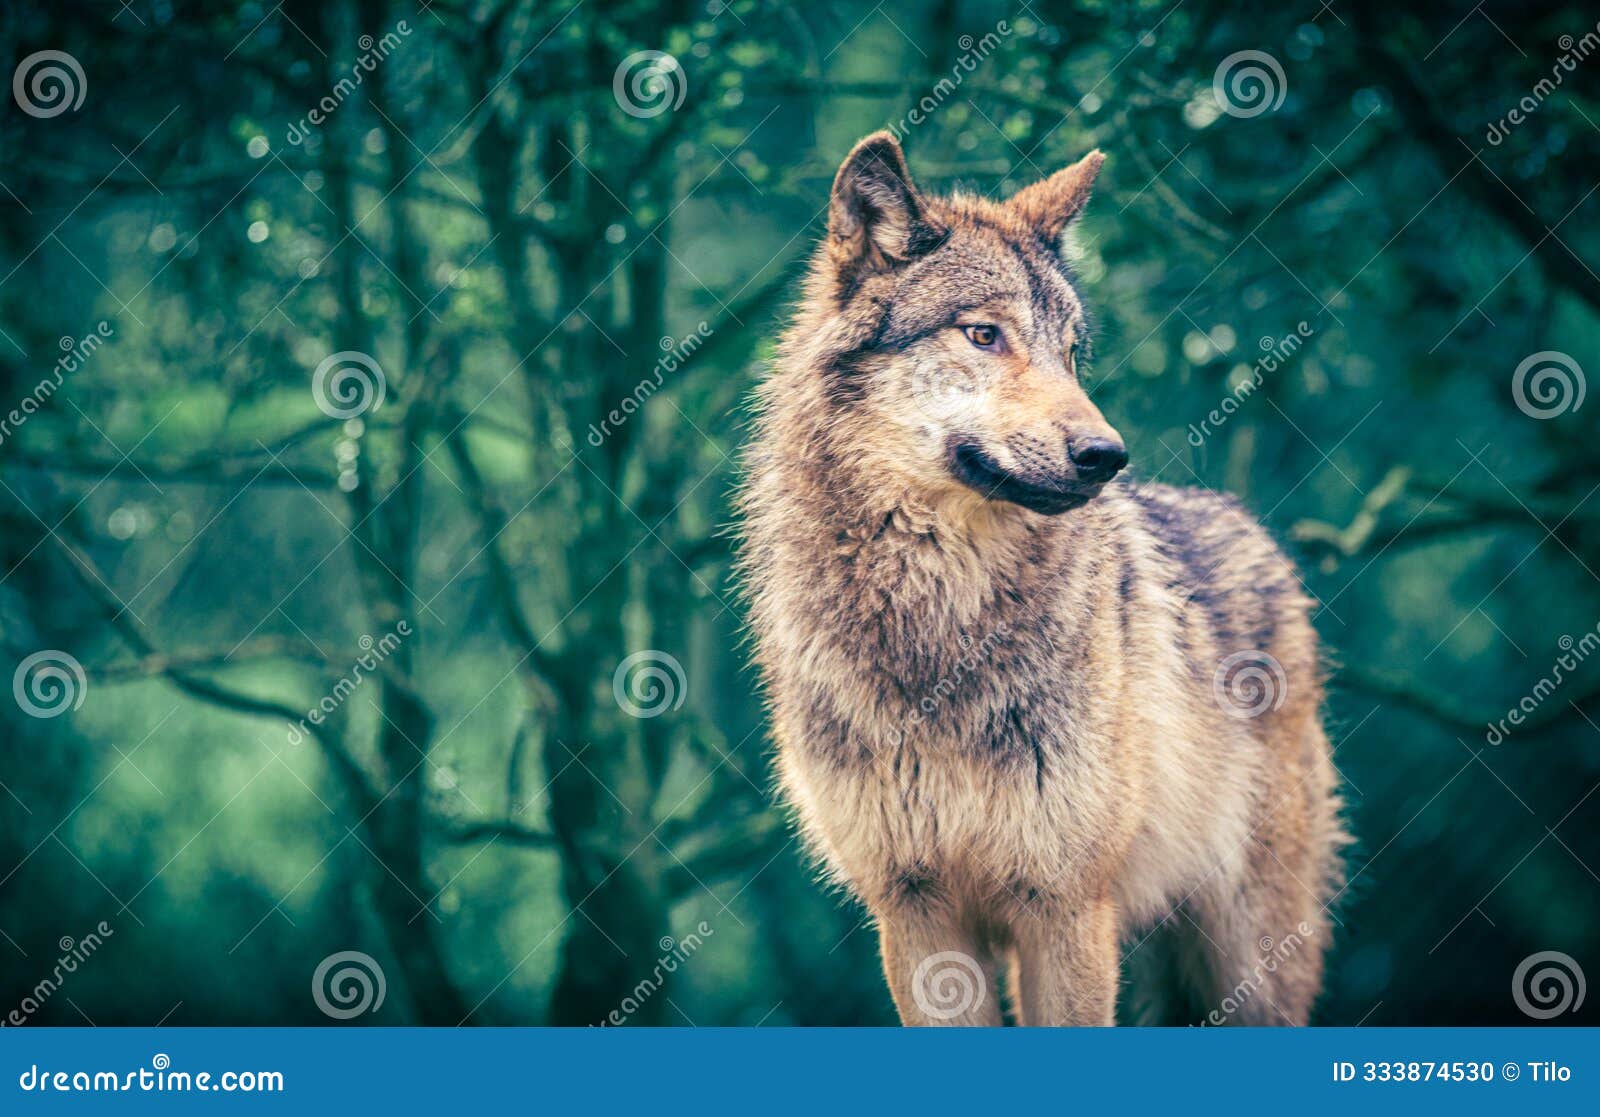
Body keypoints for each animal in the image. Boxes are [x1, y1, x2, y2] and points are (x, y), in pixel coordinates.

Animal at [737, 132, 1345, 1026]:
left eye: (1071, 351)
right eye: (984, 334)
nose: (1106, 455)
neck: (934, 633)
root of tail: (1256, 533)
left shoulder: (1063, 904)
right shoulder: (916, 908)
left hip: (1250, 959)